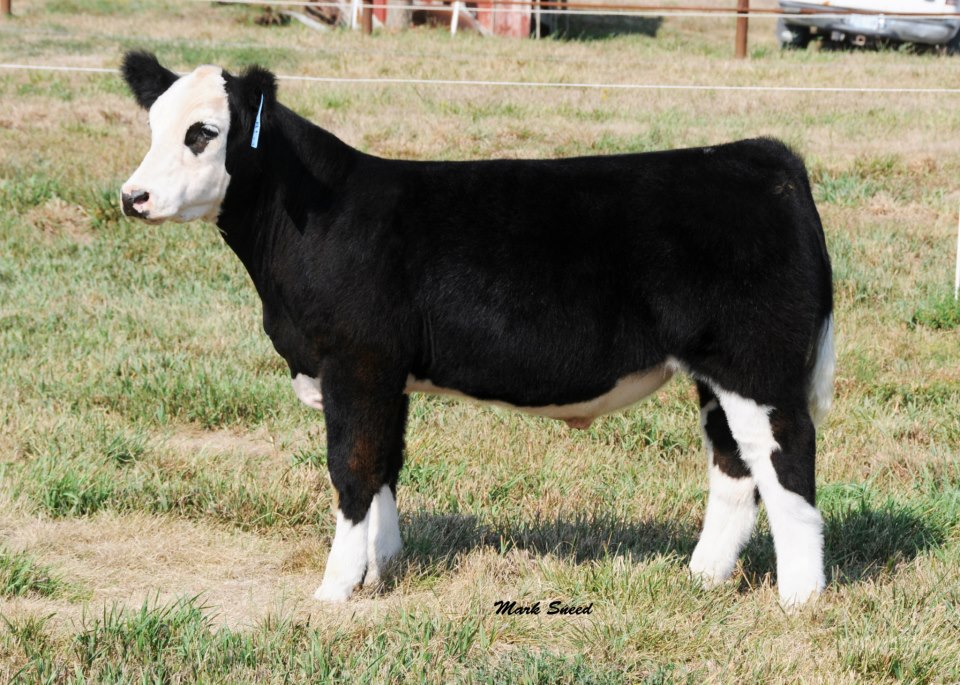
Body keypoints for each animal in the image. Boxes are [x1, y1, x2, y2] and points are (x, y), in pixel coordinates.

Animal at [119, 51, 834, 607]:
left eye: (203, 132)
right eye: (151, 126)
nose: (133, 198)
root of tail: (762, 156)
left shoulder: (355, 363)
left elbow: (352, 468)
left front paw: (335, 589)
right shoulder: (387, 374)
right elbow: (386, 464)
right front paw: (382, 570)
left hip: (758, 364)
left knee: (787, 459)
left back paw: (799, 596)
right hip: (715, 372)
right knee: (734, 464)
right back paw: (703, 577)